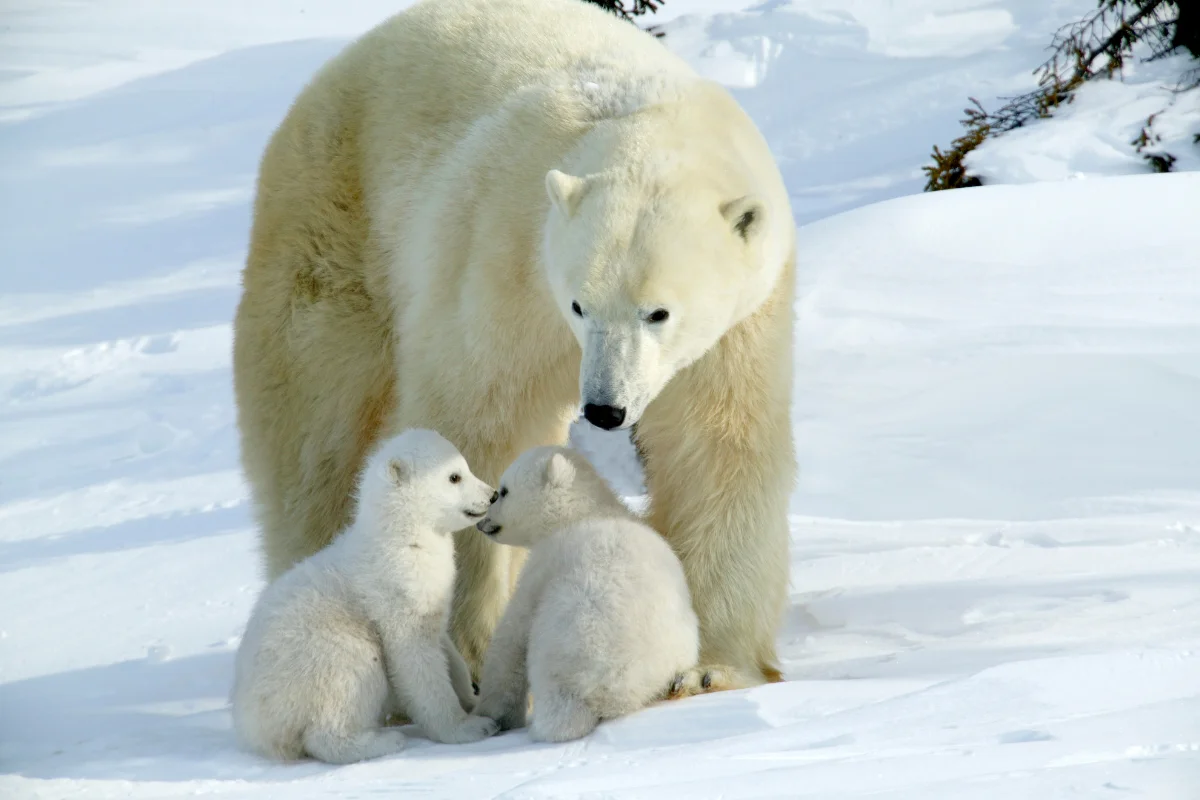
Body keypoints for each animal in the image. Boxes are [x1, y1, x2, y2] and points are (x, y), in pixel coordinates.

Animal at [230, 428, 499, 764]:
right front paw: (469, 727)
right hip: (319, 655)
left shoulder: (431, 595)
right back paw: (382, 741)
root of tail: (254, 726)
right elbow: (415, 660)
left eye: (464, 467)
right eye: (454, 476)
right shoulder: (395, 591)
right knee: (347, 683)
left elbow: (445, 646)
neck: (401, 538)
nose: (492, 494)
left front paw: (472, 695)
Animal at [232, 0, 797, 692]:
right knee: (317, 433)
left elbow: (716, 445)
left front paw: (710, 666)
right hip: (334, 224)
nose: (605, 409)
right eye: (580, 304)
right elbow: (477, 422)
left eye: (658, 312)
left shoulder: (740, 324)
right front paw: (470, 651)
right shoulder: (504, 257)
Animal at [472, 445, 708, 741]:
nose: (482, 521)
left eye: (503, 491)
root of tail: (616, 693)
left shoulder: (547, 561)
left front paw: (493, 714)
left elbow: (512, 635)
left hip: (569, 641)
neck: (585, 511)